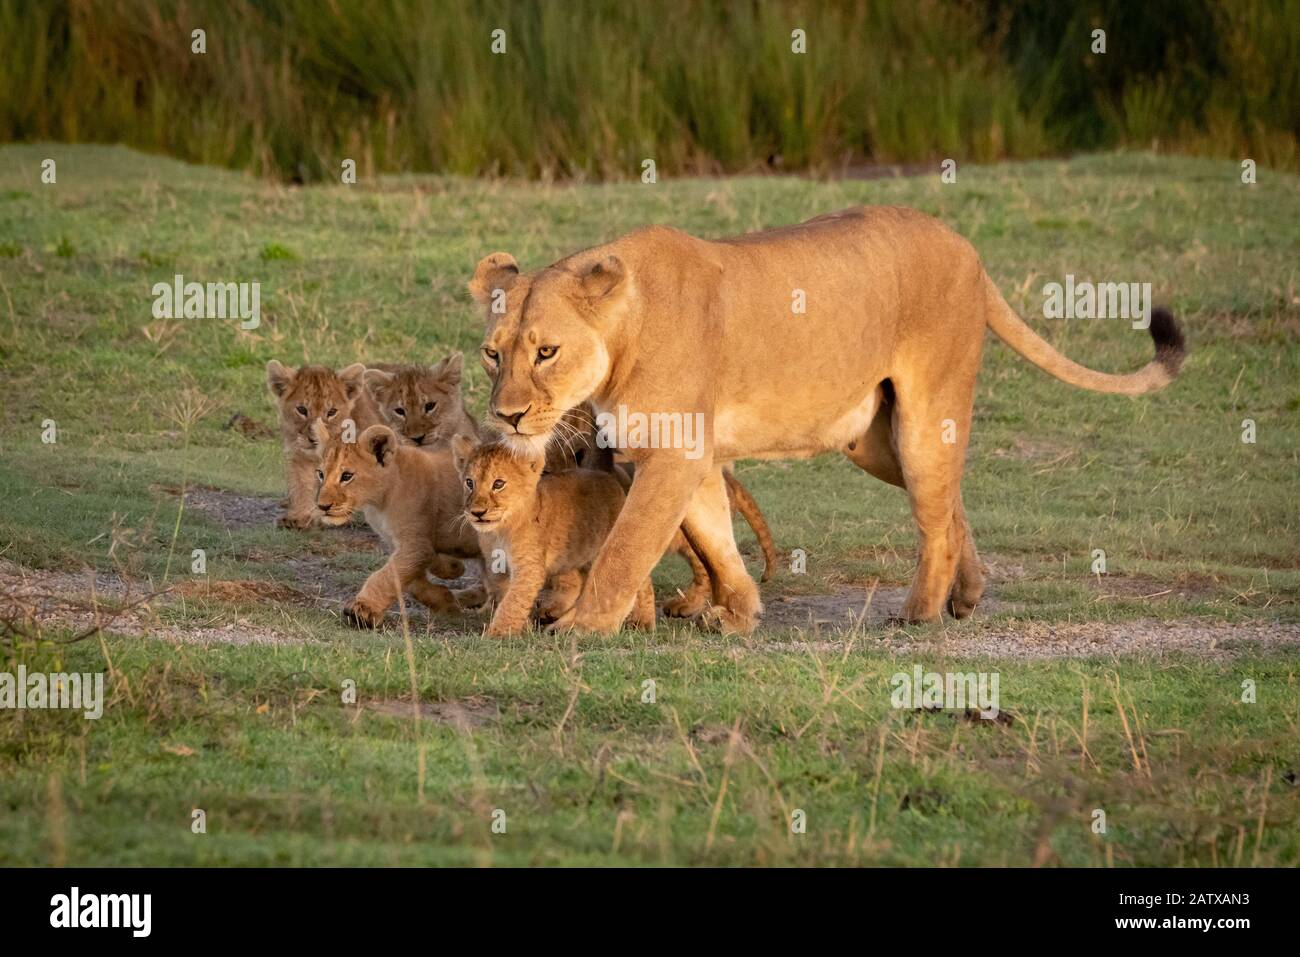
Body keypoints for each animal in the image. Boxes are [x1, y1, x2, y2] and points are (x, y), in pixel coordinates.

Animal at [266, 360, 381, 529]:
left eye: (332, 412)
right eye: (302, 409)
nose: (314, 439)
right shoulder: (298, 456)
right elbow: (300, 486)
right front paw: (299, 517)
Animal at [312, 422, 484, 628]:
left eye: (346, 476)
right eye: (321, 474)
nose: (322, 506)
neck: (378, 502)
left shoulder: (415, 546)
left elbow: (386, 576)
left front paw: (362, 611)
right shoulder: (405, 545)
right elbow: (413, 583)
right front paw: (448, 598)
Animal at [451, 434, 655, 637]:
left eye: (498, 484)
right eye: (469, 483)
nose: (477, 512)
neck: (499, 531)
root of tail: (607, 476)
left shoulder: (528, 567)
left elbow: (513, 601)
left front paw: (498, 633)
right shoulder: (497, 567)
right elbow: (506, 596)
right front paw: (524, 627)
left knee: (640, 580)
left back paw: (642, 622)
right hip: (568, 553)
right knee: (573, 581)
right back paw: (552, 612)